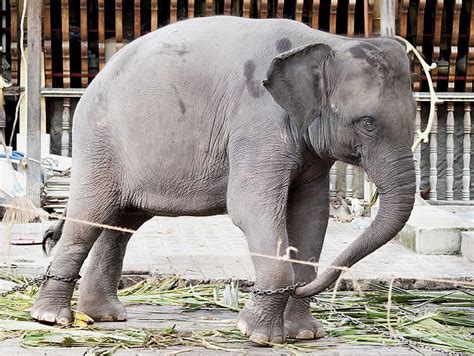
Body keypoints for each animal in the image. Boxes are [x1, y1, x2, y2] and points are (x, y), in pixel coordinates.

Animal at [31, 16, 414, 344]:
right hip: (100, 143)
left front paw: (305, 334)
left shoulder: (309, 151)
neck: (328, 40)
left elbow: (311, 216)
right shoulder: (258, 124)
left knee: (120, 224)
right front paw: (258, 335)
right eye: (367, 123)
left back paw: (105, 316)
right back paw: (50, 318)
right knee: (89, 217)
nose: (302, 288)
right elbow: (250, 208)